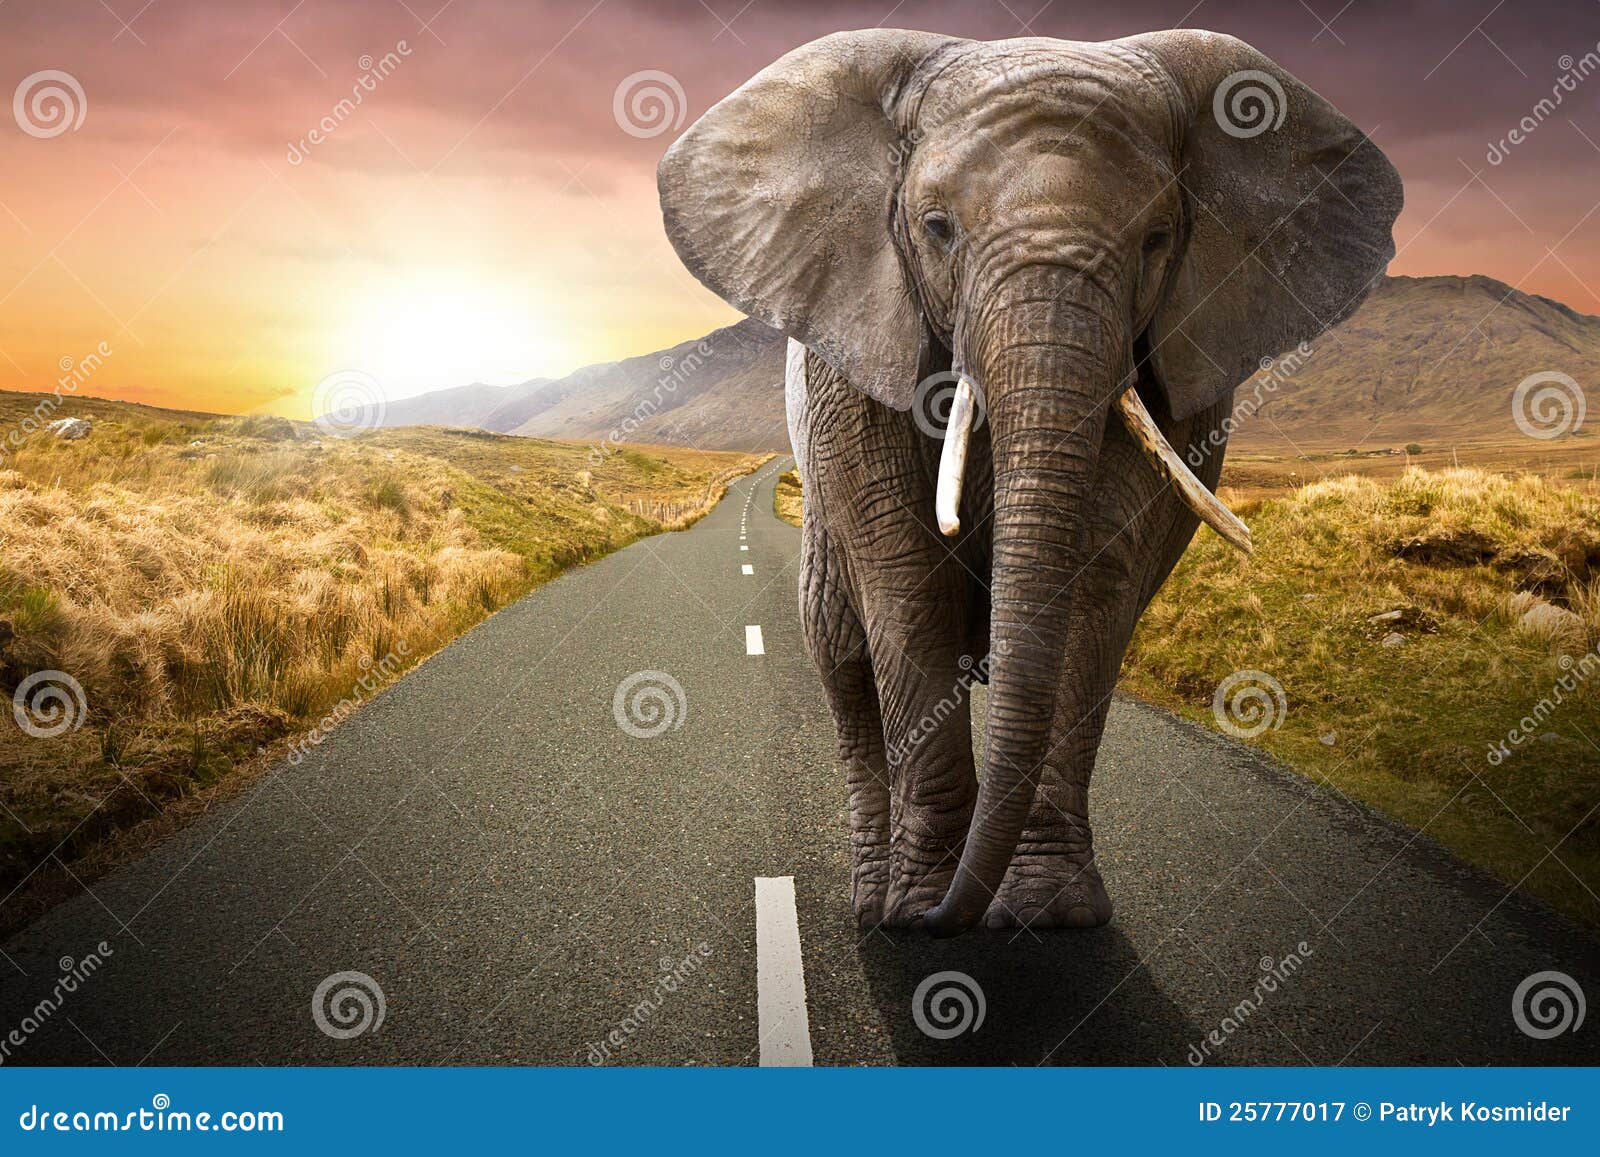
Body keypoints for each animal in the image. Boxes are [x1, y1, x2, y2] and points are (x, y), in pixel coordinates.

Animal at [658, 29, 1401, 937]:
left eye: (1158, 239)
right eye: (937, 227)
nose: (949, 915)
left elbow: (1097, 578)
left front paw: (1051, 913)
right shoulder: (854, 358)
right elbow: (905, 581)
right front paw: (921, 905)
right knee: (841, 656)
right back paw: (875, 900)